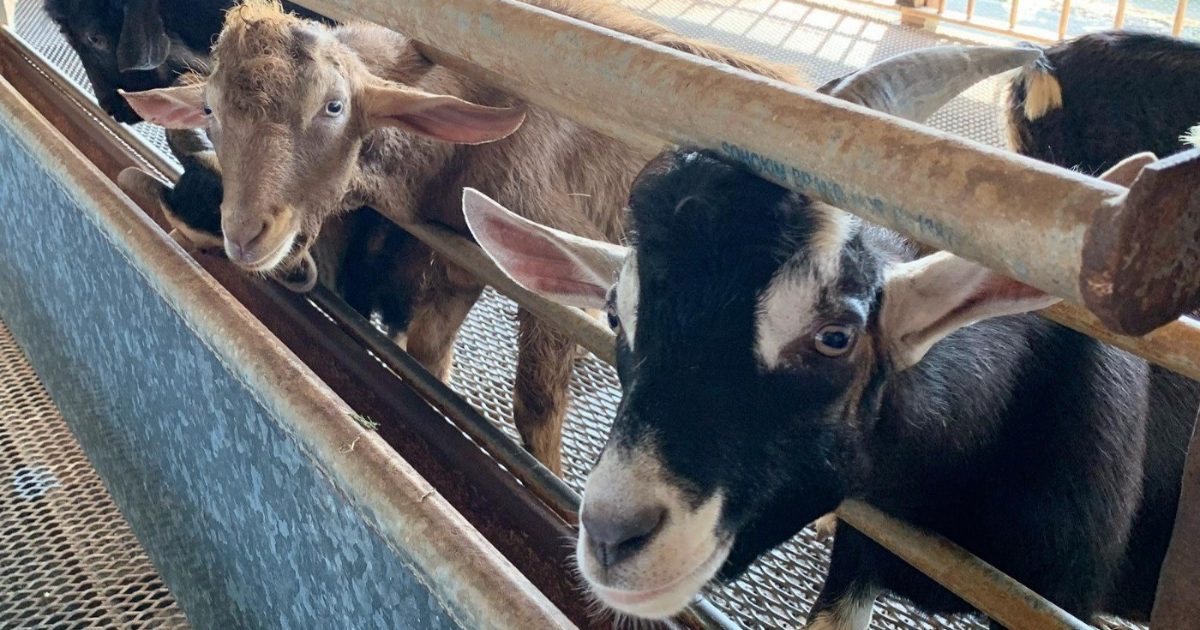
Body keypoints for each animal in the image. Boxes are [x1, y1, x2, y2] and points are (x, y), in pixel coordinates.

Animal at [117, 0, 801, 474]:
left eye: (335, 106)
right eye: (210, 109)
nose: (246, 234)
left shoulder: (561, 267)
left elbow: (536, 405)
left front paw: (550, 483)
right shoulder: (459, 255)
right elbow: (427, 348)